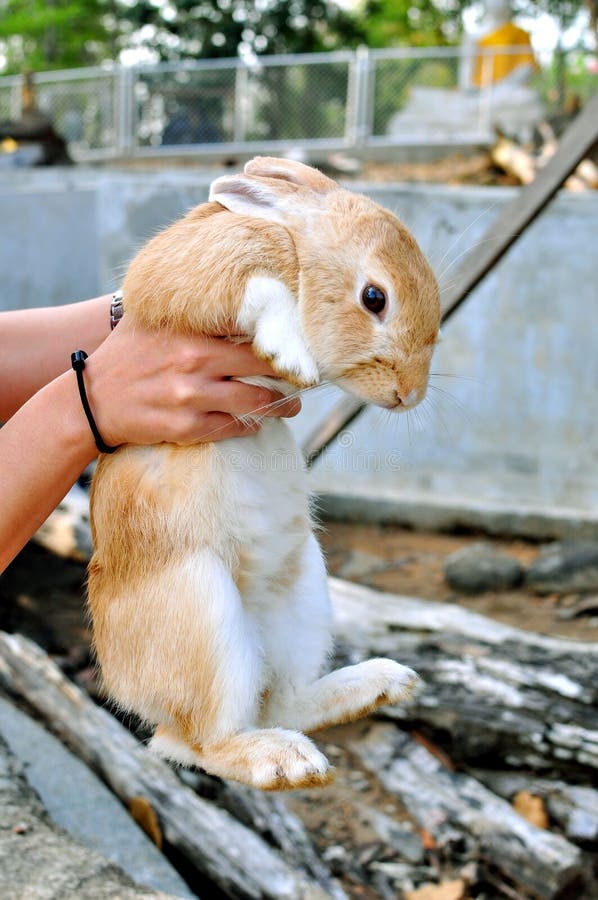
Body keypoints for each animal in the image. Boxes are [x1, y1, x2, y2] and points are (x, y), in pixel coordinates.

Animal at [88, 157, 440, 791]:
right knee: (190, 742)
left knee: (284, 702)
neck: (297, 252)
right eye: (375, 297)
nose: (410, 394)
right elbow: (259, 289)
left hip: (306, 592)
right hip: (202, 607)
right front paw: (292, 354)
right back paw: (285, 761)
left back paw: (384, 683)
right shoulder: (185, 275)